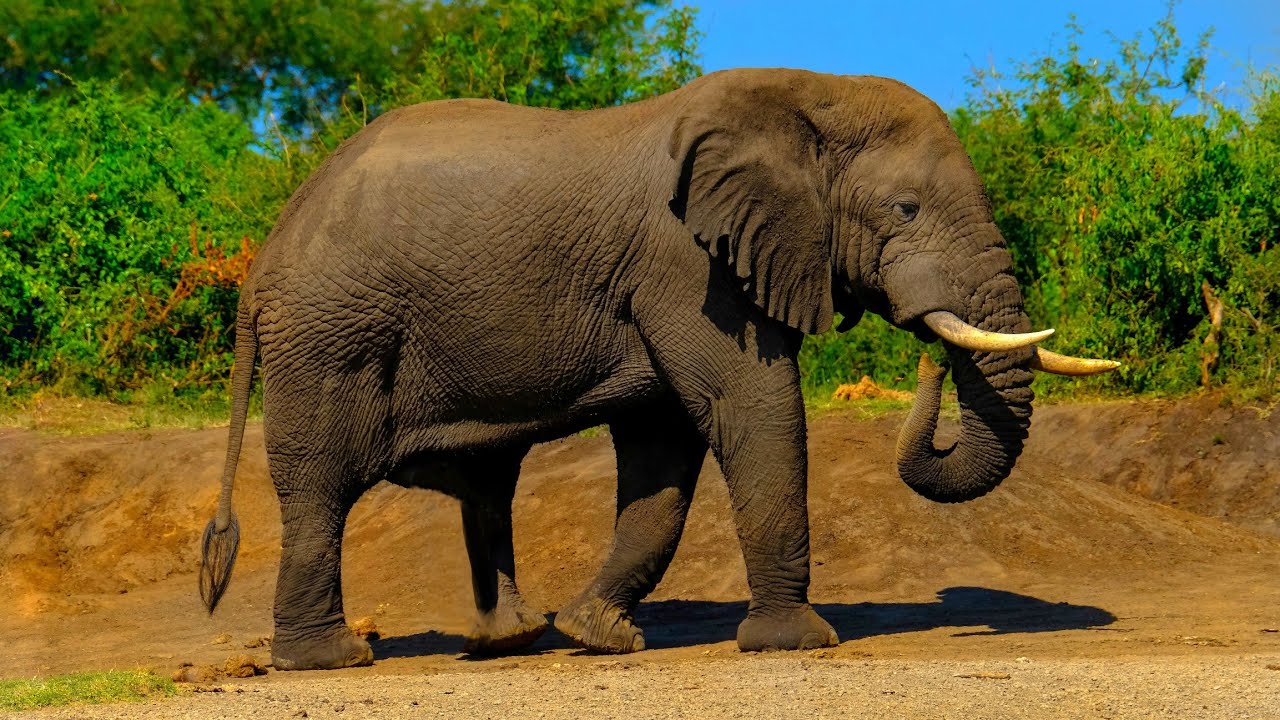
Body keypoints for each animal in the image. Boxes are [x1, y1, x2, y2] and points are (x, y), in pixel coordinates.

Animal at [198, 68, 1117, 671]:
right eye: (905, 209)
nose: (930, 363)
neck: (803, 95)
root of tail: (264, 260)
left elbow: (664, 456)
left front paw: (597, 637)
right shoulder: (686, 266)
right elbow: (750, 407)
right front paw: (794, 645)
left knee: (483, 484)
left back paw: (511, 642)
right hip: (332, 337)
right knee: (321, 487)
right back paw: (330, 660)